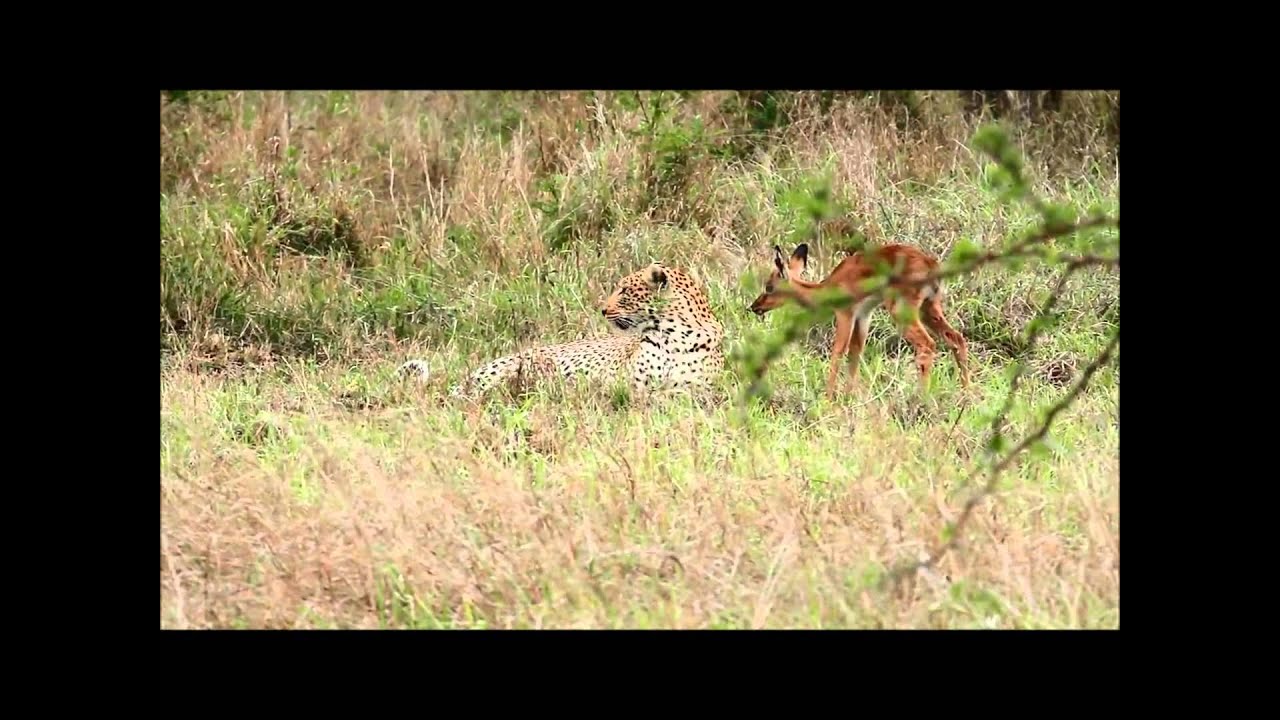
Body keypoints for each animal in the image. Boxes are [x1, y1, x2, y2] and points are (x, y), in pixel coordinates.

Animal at [397, 262, 725, 400]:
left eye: (623, 291)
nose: (602, 309)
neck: (671, 336)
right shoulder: (626, 382)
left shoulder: (698, 387)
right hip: (515, 368)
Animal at [748, 242, 971, 398]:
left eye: (769, 287)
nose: (755, 306)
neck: (828, 286)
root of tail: (930, 264)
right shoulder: (863, 315)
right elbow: (855, 351)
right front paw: (848, 396)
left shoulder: (845, 313)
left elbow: (838, 351)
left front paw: (828, 398)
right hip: (929, 308)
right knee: (956, 339)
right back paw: (966, 394)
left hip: (903, 311)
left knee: (927, 344)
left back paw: (920, 399)